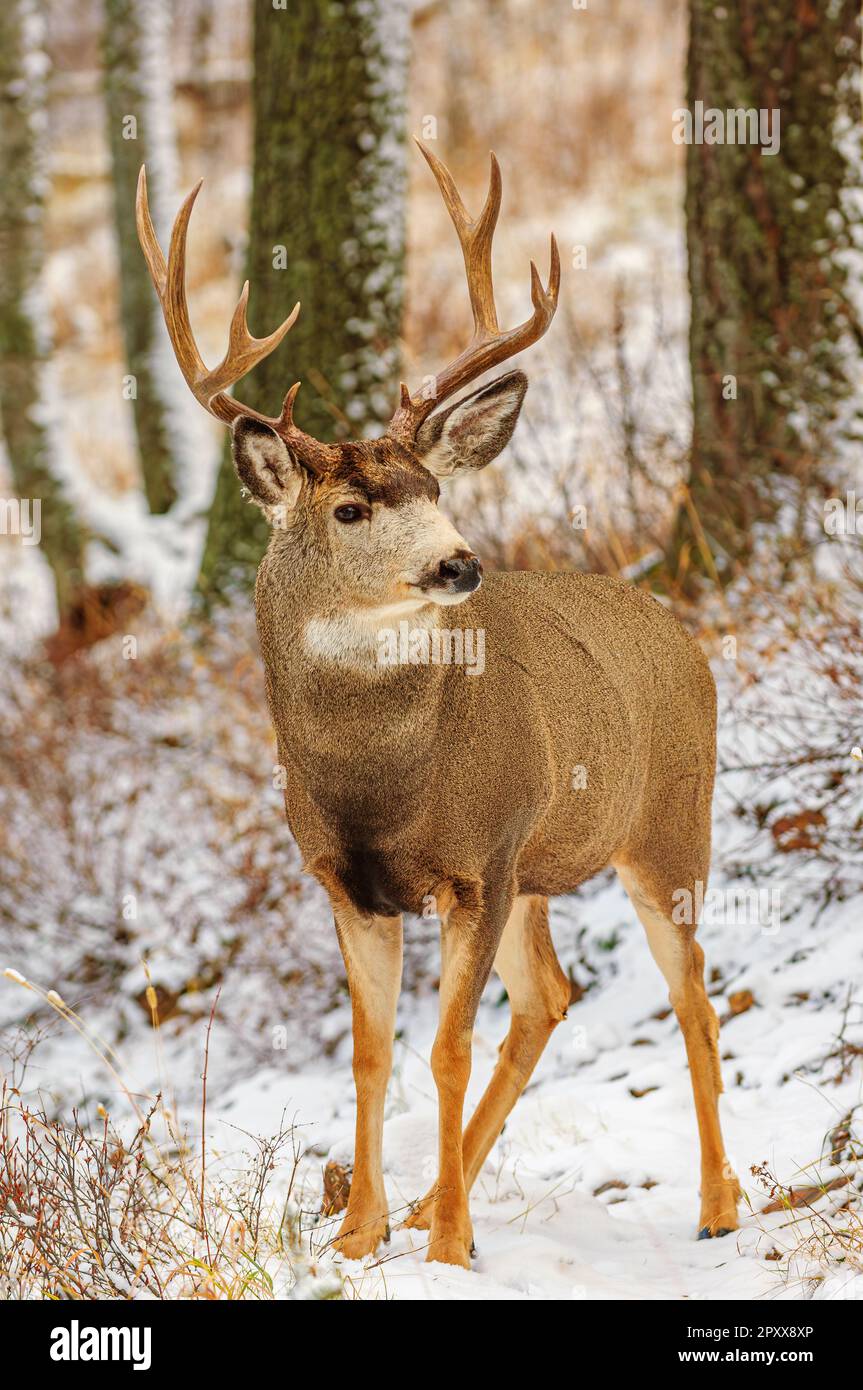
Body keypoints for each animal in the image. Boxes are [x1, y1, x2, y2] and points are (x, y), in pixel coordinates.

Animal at [136, 142, 741, 1269]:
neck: (379, 783)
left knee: (691, 997)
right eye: (350, 508)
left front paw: (452, 1246)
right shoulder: (344, 881)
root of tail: (681, 630)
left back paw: (717, 1204)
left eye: (433, 488)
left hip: (665, 828)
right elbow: (372, 1053)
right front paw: (360, 1231)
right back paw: (426, 1198)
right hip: (543, 868)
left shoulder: (479, 860)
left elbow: (444, 1048)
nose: (459, 561)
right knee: (551, 995)